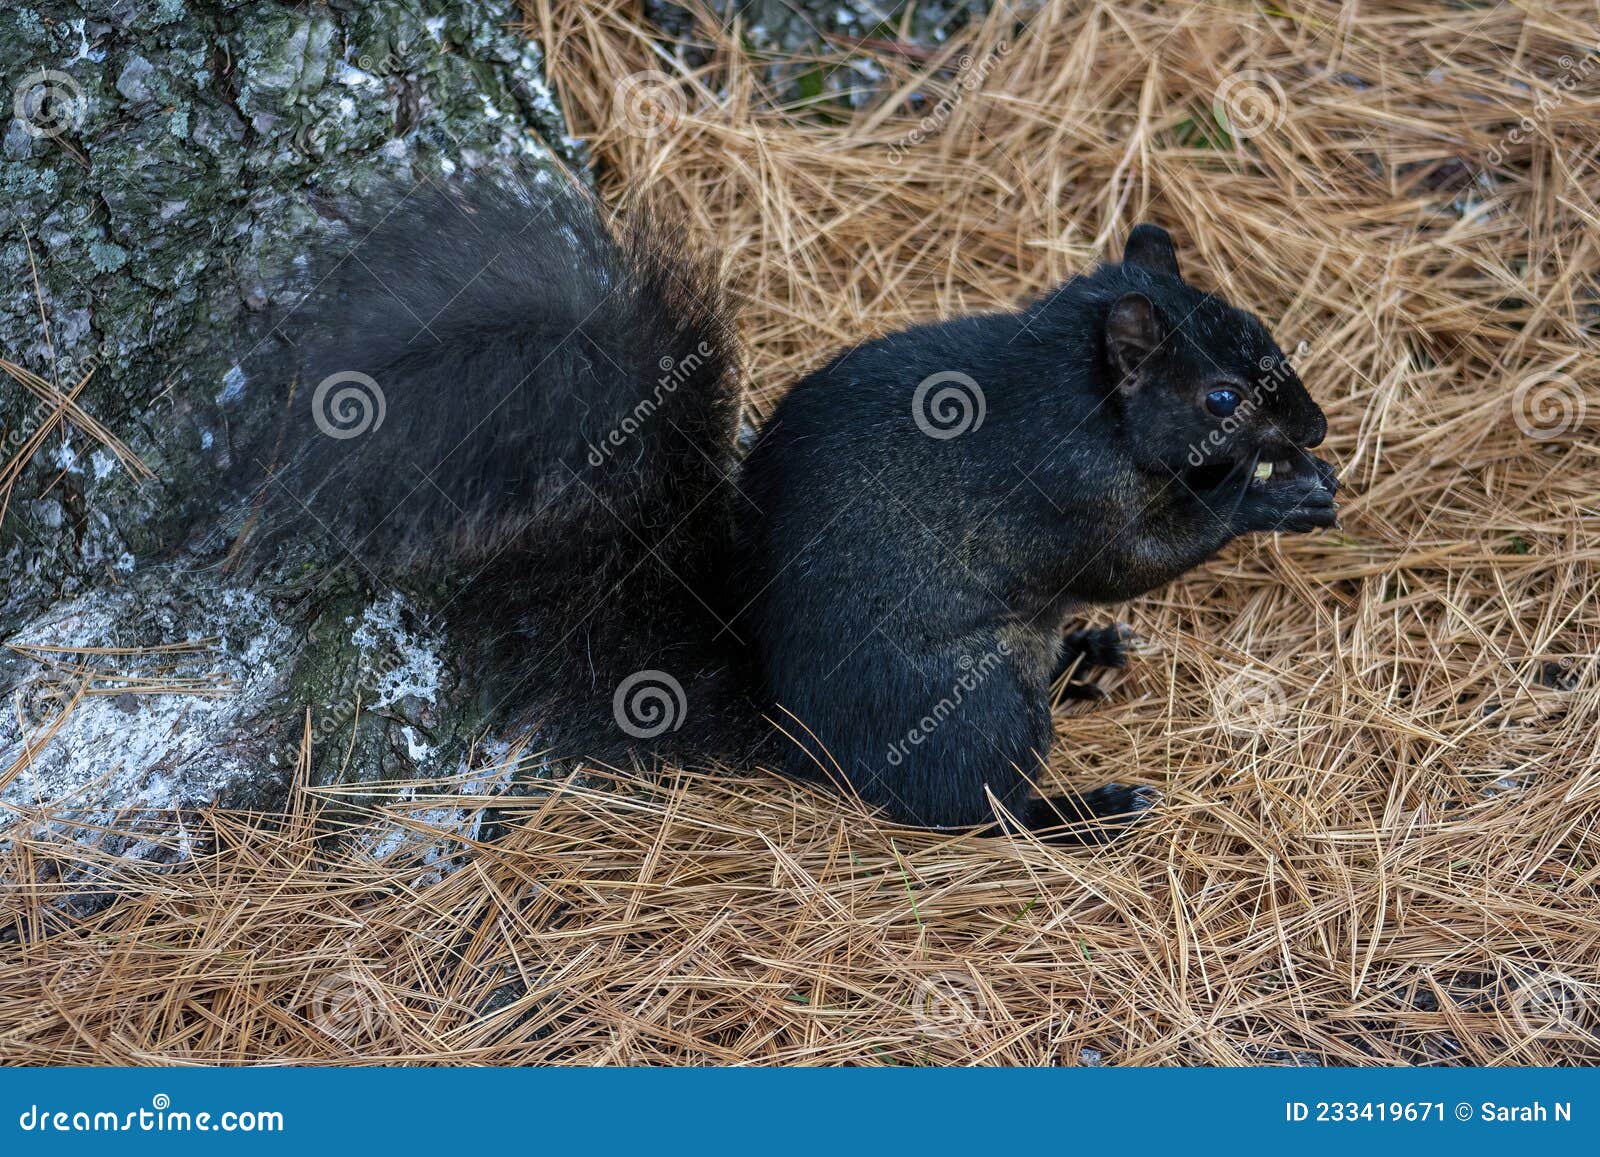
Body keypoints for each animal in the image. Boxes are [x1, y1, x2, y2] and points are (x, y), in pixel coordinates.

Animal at [252, 177, 1338, 844]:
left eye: (1262, 329)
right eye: (1220, 399)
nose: (1317, 423)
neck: (1083, 391)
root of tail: (800, 734)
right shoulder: (1069, 489)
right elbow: (1140, 556)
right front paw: (1267, 492)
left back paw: (1089, 657)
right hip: (975, 695)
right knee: (970, 808)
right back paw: (1087, 805)